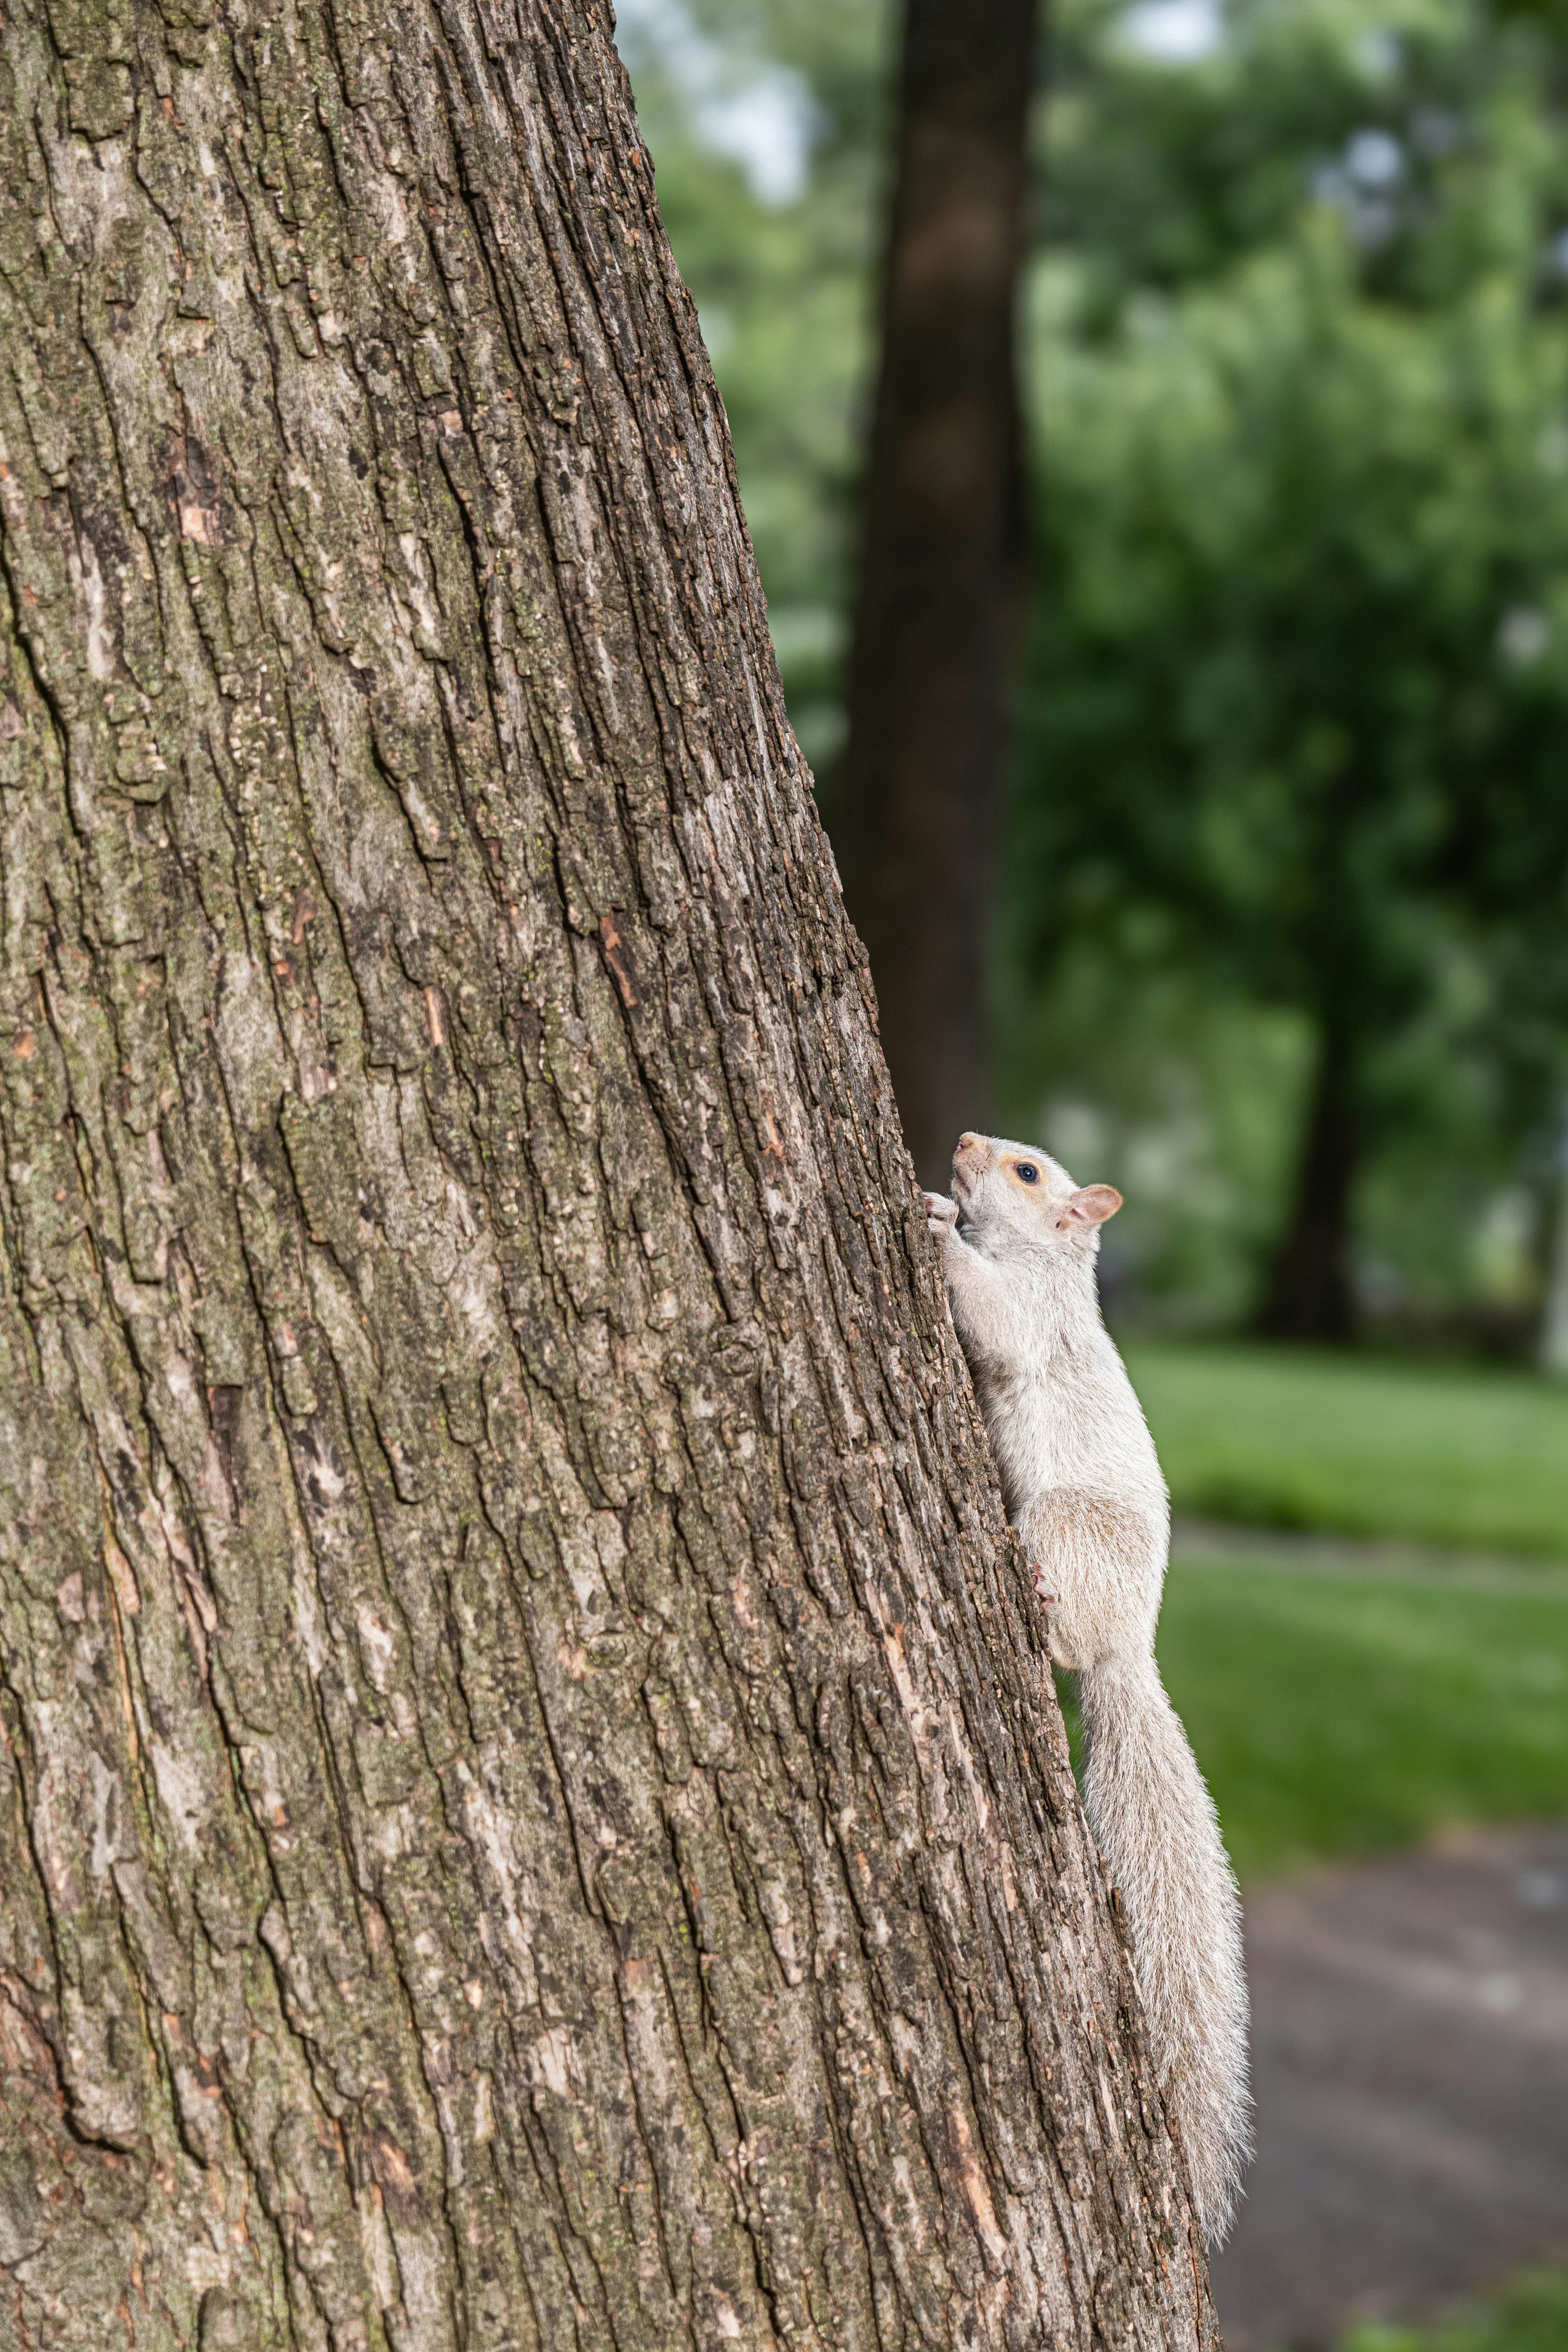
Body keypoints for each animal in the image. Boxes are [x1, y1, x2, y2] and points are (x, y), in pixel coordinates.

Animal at [925, 1131, 1251, 2244]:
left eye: (1028, 1172)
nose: (964, 1144)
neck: (1051, 1263)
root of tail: (1127, 1649)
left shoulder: (1031, 1317)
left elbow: (991, 1315)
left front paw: (930, 1225)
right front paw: (936, 1201)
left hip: (1064, 1527)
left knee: (1066, 1638)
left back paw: (1038, 1601)